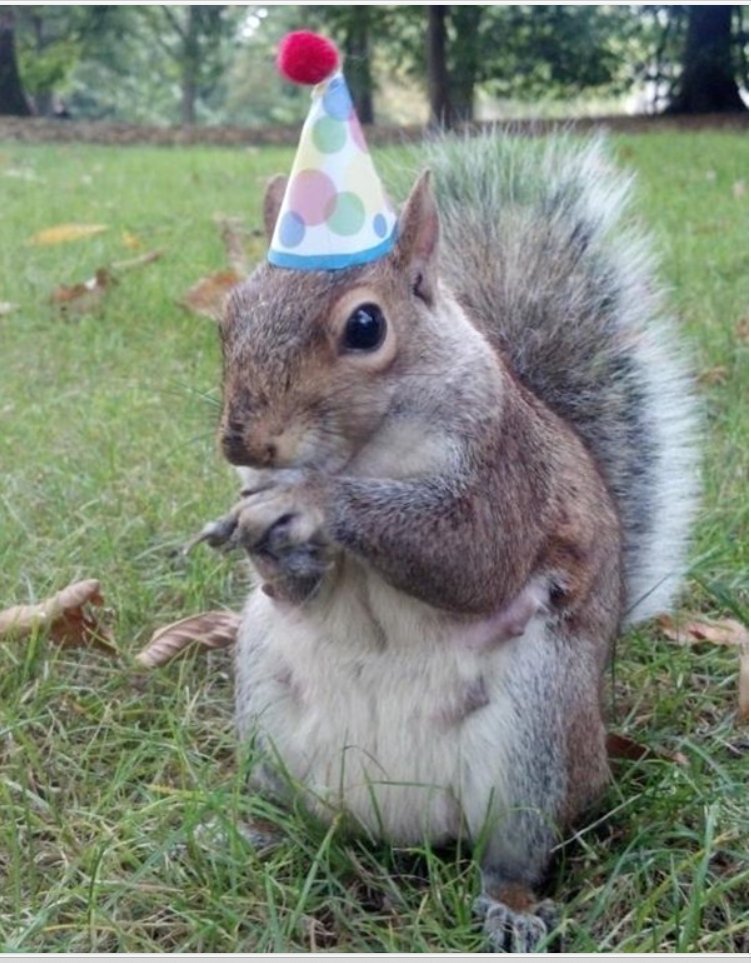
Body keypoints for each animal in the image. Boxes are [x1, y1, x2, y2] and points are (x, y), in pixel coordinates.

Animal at [209, 132, 698, 952]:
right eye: (228, 316)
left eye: (365, 327)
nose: (242, 441)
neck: (363, 450)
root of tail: (396, 822)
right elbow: (292, 587)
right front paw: (255, 531)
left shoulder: (506, 477)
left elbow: (470, 556)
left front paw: (310, 503)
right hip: (265, 710)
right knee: (300, 822)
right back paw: (250, 836)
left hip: (537, 733)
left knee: (513, 853)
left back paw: (511, 908)